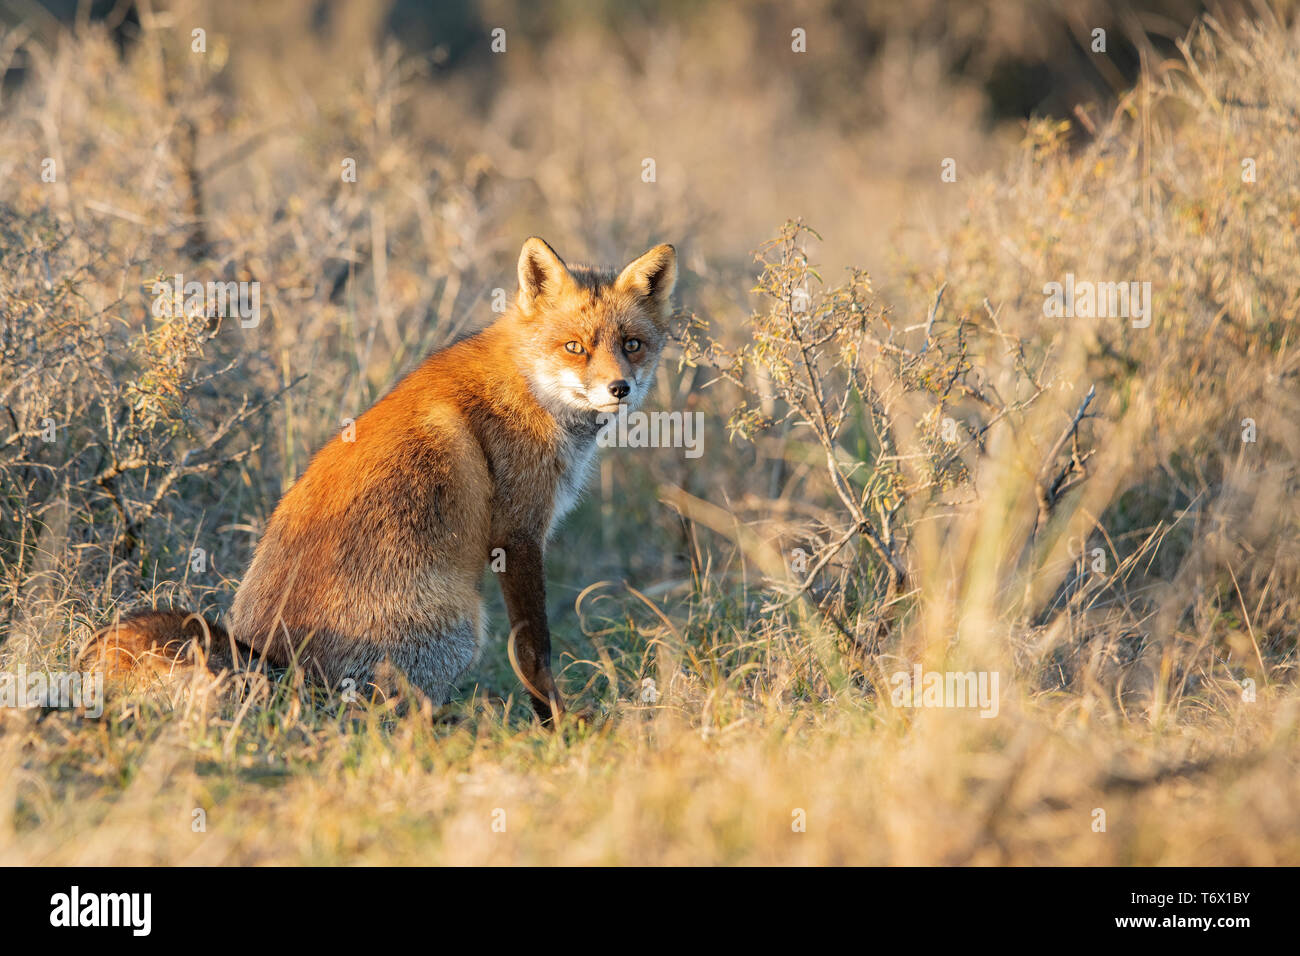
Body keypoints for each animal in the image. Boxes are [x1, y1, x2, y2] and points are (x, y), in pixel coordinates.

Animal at [83, 237, 678, 724]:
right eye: (575, 347)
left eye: (632, 344)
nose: (620, 389)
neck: (530, 388)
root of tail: (278, 662)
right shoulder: (518, 533)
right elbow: (535, 651)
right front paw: (556, 725)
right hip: (460, 625)